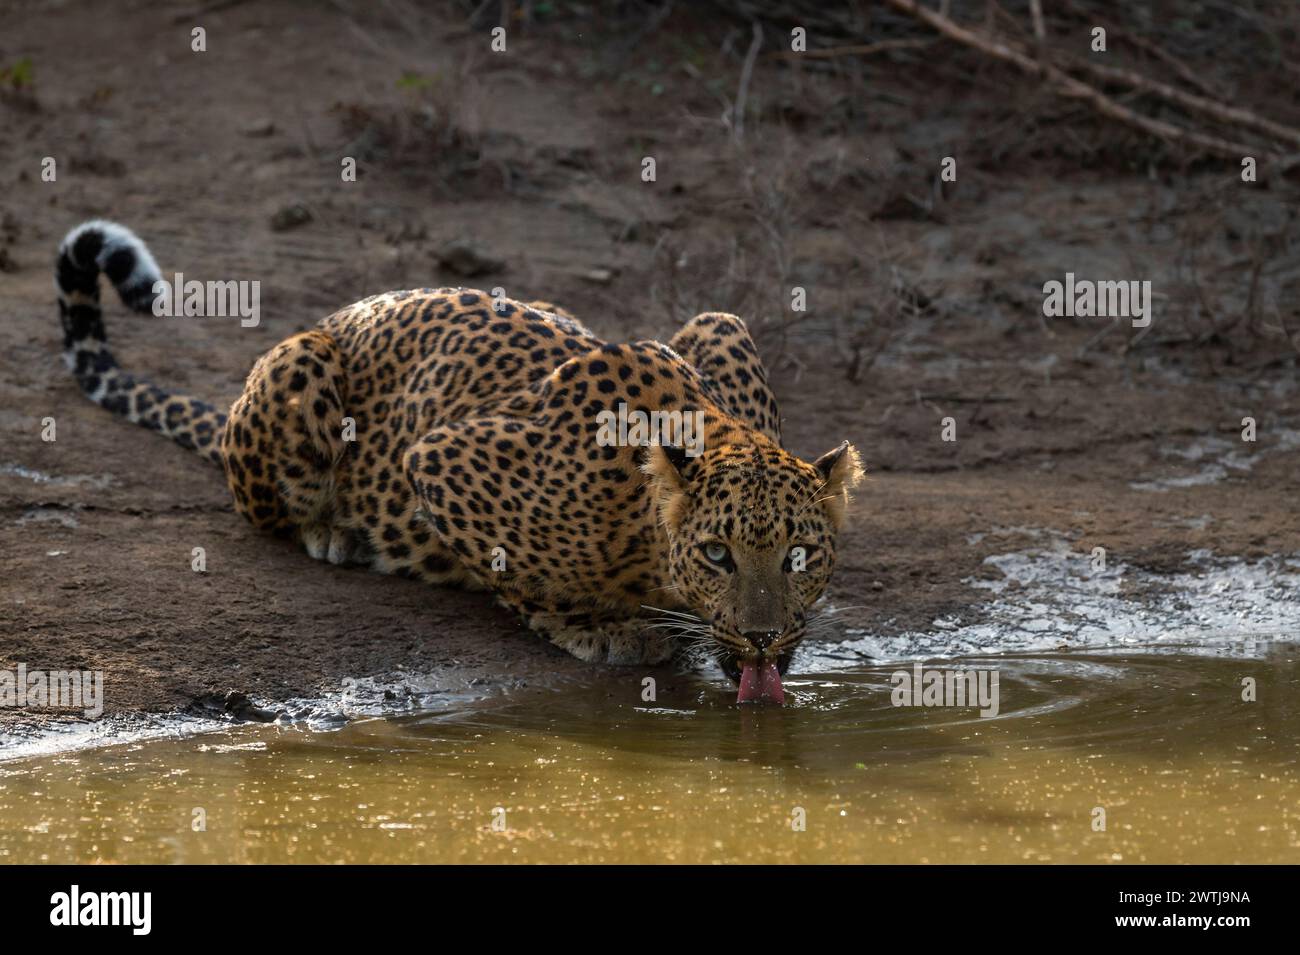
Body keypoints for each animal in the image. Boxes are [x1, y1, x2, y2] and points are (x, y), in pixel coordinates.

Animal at [53, 220, 863, 702]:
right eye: (718, 554)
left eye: (799, 555)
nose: (763, 637)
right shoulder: (441, 457)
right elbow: (524, 575)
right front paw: (597, 627)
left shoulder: (720, 327)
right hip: (299, 363)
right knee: (267, 511)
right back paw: (335, 533)